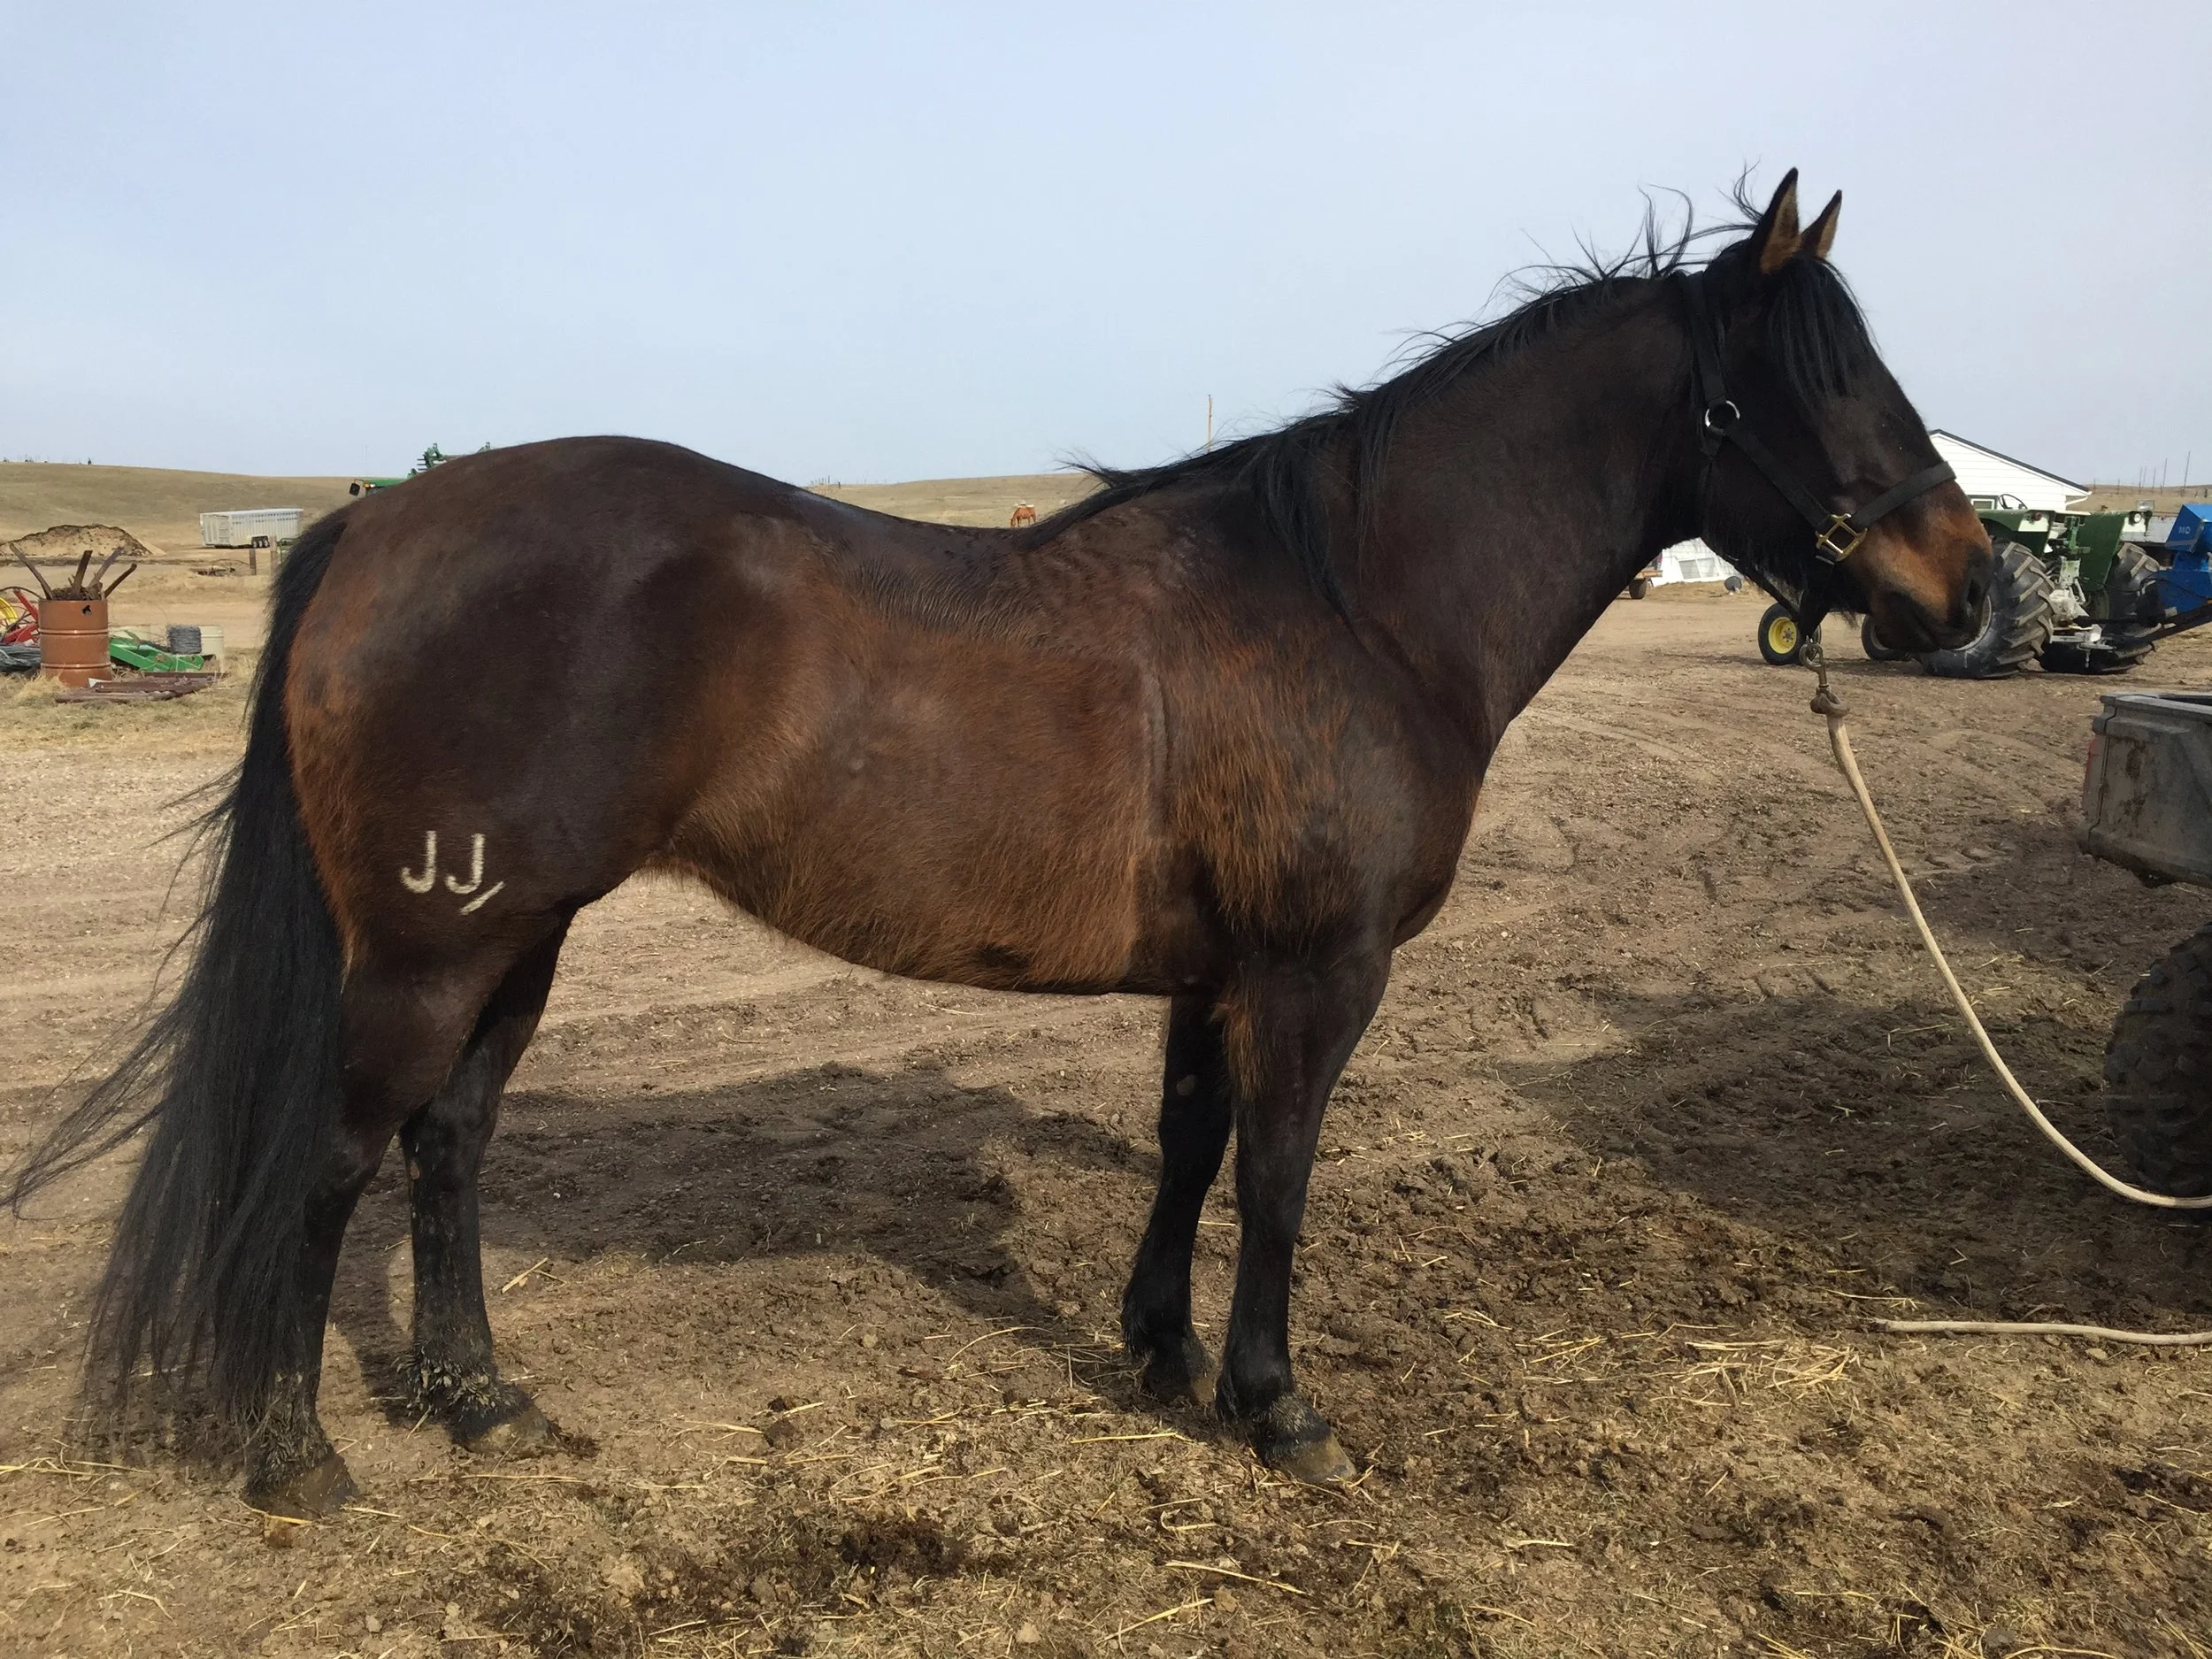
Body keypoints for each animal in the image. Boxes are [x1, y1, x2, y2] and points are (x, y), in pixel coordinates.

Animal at [7, 173, 1989, 1518]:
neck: (1352, 604)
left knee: (450, 1148)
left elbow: (1190, 1151)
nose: (1977, 591)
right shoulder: (1315, 973)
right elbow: (1280, 1173)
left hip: (520, 936)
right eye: (1821, 382)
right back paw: (295, 1455)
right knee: (337, 1161)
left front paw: (1160, 1354)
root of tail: (379, 519)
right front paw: (1276, 1403)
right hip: (432, 947)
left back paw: (482, 1402)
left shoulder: (1216, 976)